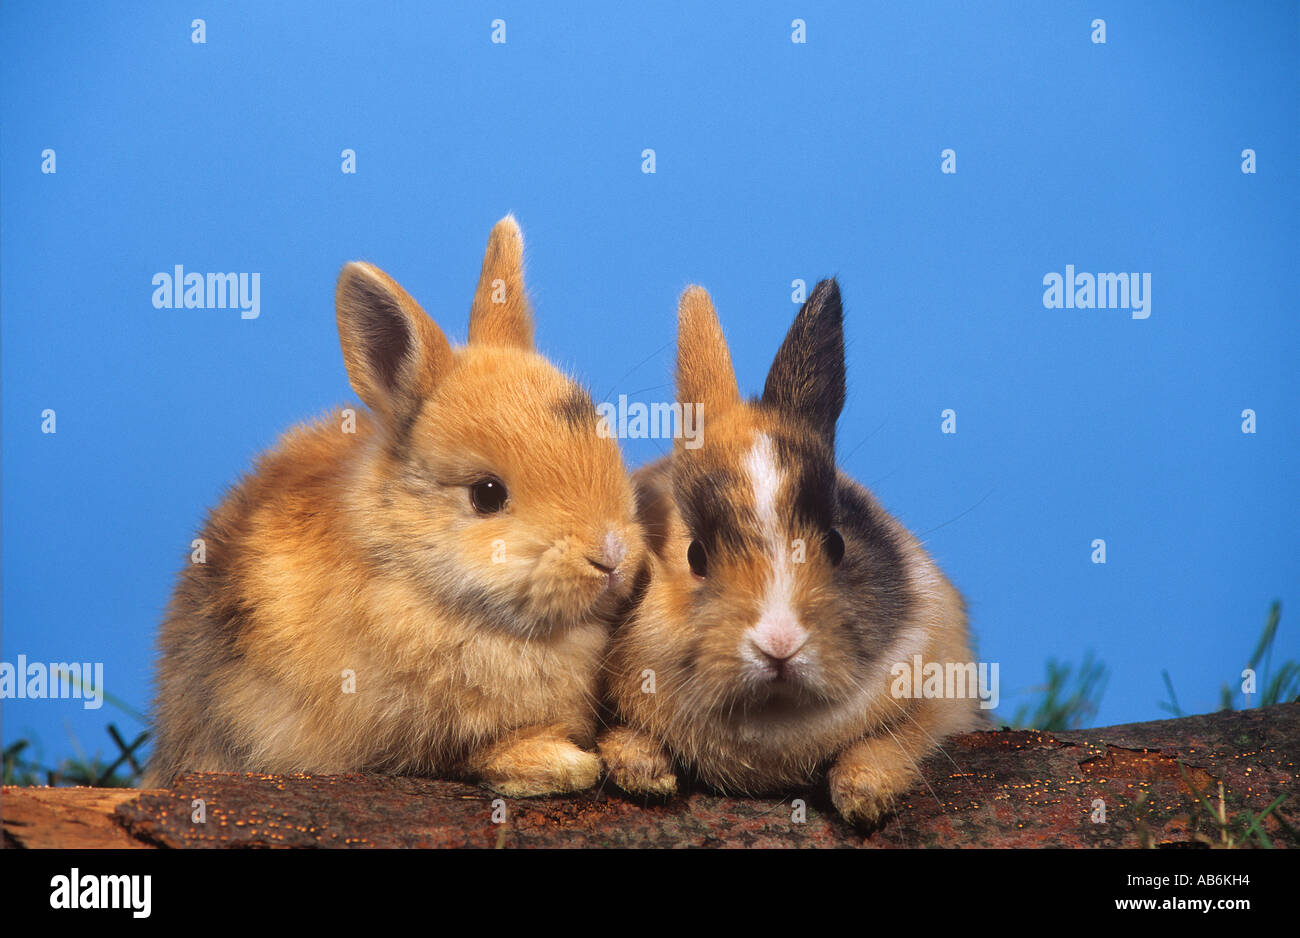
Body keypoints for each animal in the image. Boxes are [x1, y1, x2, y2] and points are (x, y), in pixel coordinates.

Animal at [598, 279, 985, 824]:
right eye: (696, 556)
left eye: (837, 542)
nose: (779, 642)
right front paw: (645, 774)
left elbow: (891, 744)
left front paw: (864, 795)